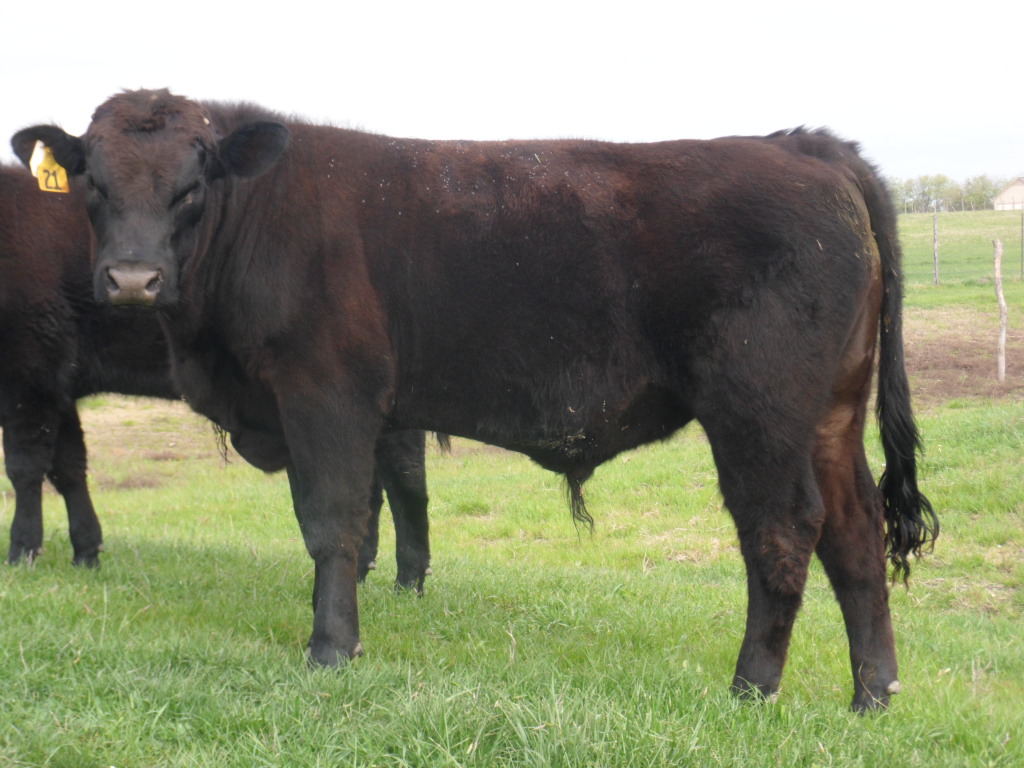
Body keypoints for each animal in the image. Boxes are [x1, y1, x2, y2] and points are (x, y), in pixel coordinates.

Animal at [1, 161, 431, 587]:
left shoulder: (28, 371)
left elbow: (24, 467)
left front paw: (22, 552)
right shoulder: (57, 384)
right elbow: (69, 467)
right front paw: (86, 552)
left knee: (404, 474)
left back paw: (409, 578)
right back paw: (365, 571)